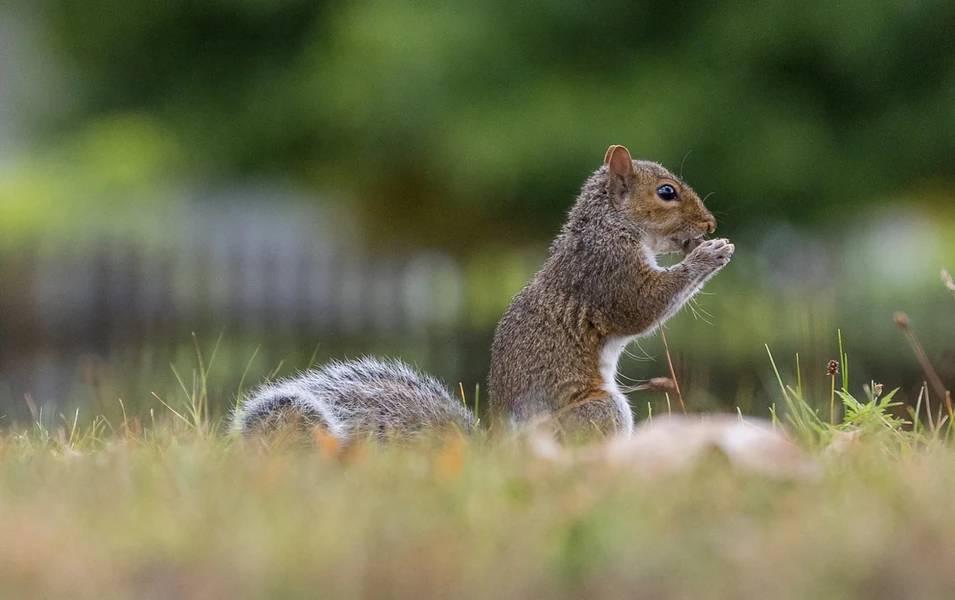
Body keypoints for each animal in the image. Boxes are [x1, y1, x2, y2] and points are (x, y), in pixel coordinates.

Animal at [232, 145, 732, 444]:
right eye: (666, 192)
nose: (709, 225)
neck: (609, 225)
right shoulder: (606, 273)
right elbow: (640, 308)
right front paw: (708, 257)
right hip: (599, 412)